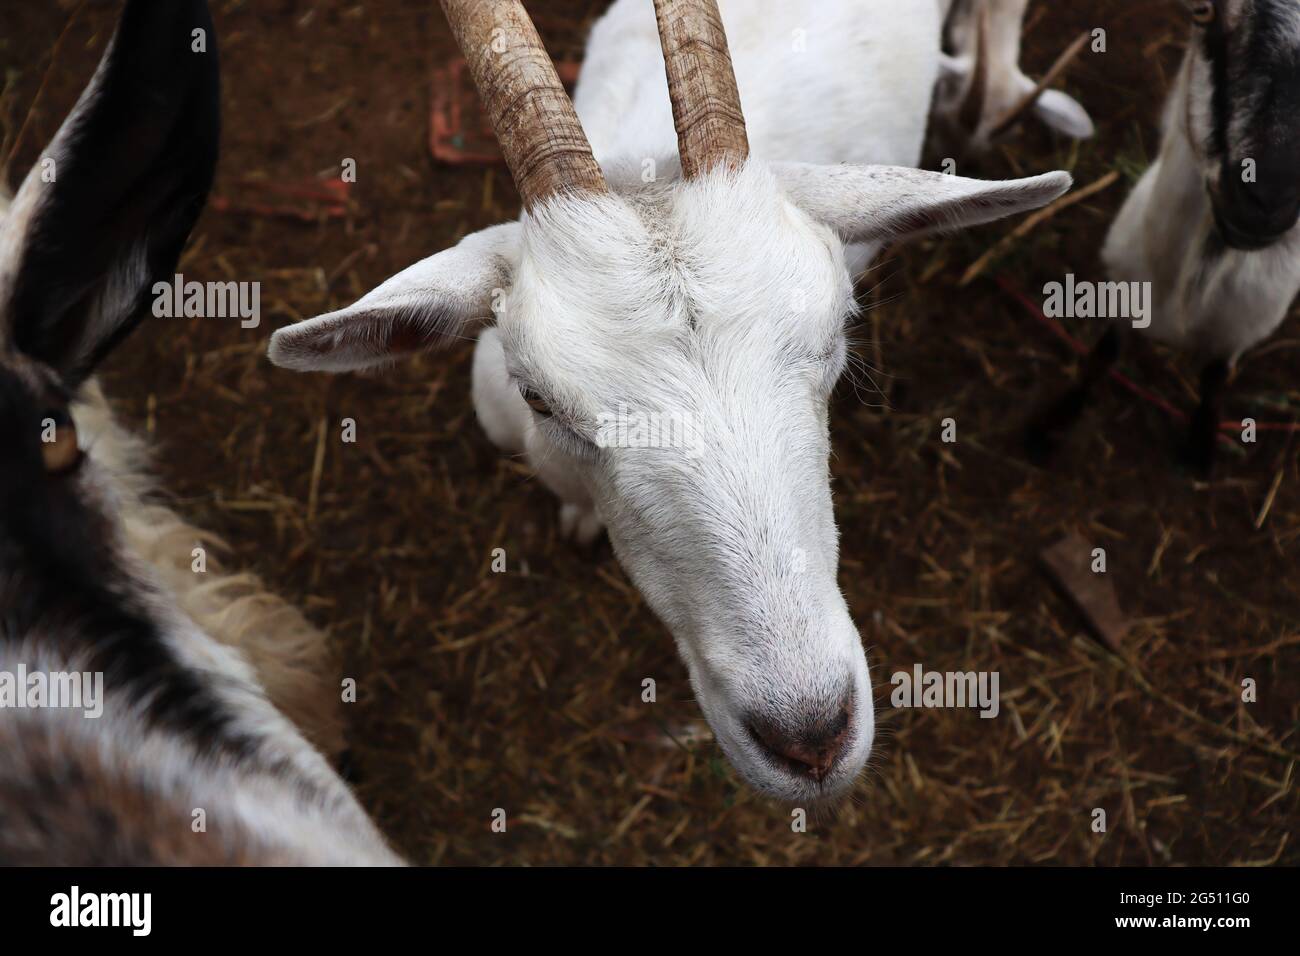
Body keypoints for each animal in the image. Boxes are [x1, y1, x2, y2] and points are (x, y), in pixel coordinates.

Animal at [1027, 0, 1300, 474]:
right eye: (1202, 11)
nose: (1267, 197)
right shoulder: (1122, 289)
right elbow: (1102, 356)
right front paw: (1052, 426)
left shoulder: (1239, 333)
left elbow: (1214, 380)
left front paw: (1201, 447)